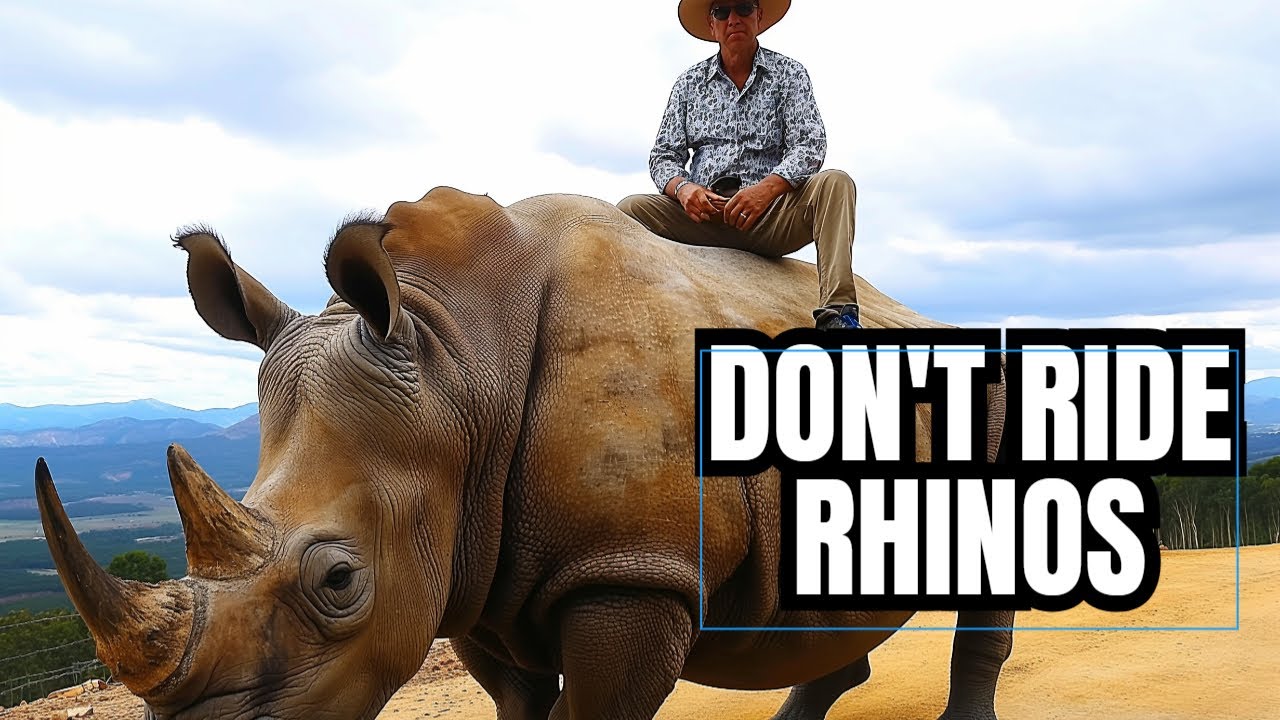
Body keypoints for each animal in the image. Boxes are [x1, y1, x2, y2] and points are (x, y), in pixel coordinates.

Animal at [36, 188, 1013, 720]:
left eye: (340, 582)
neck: (458, 364)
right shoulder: (469, 562)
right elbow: (516, 700)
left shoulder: (631, 569)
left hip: (992, 381)